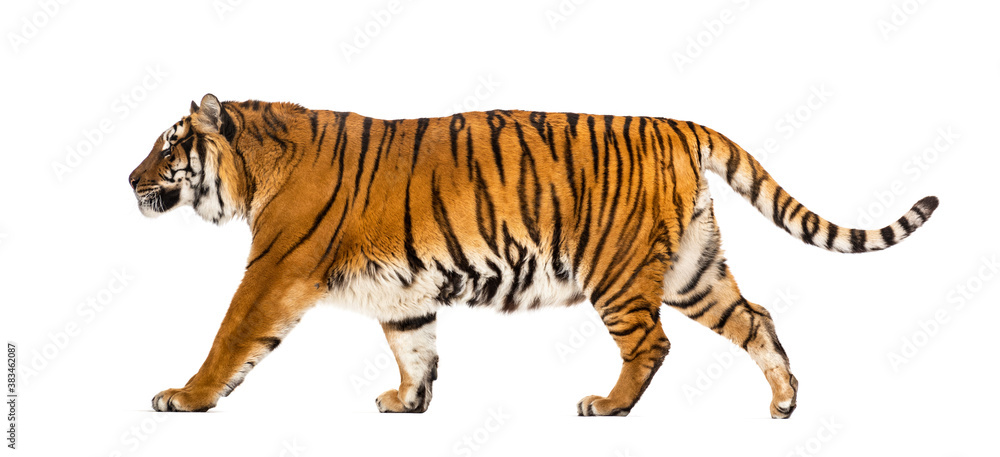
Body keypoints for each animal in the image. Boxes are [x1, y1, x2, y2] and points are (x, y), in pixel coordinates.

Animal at [129, 94, 938, 417]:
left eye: (170, 145)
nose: (129, 181)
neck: (254, 170)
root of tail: (676, 125)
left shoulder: (272, 272)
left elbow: (229, 338)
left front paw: (184, 397)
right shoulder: (404, 293)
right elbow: (415, 348)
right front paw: (407, 402)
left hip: (619, 274)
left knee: (652, 345)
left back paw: (608, 406)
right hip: (694, 270)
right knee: (757, 316)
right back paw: (785, 400)